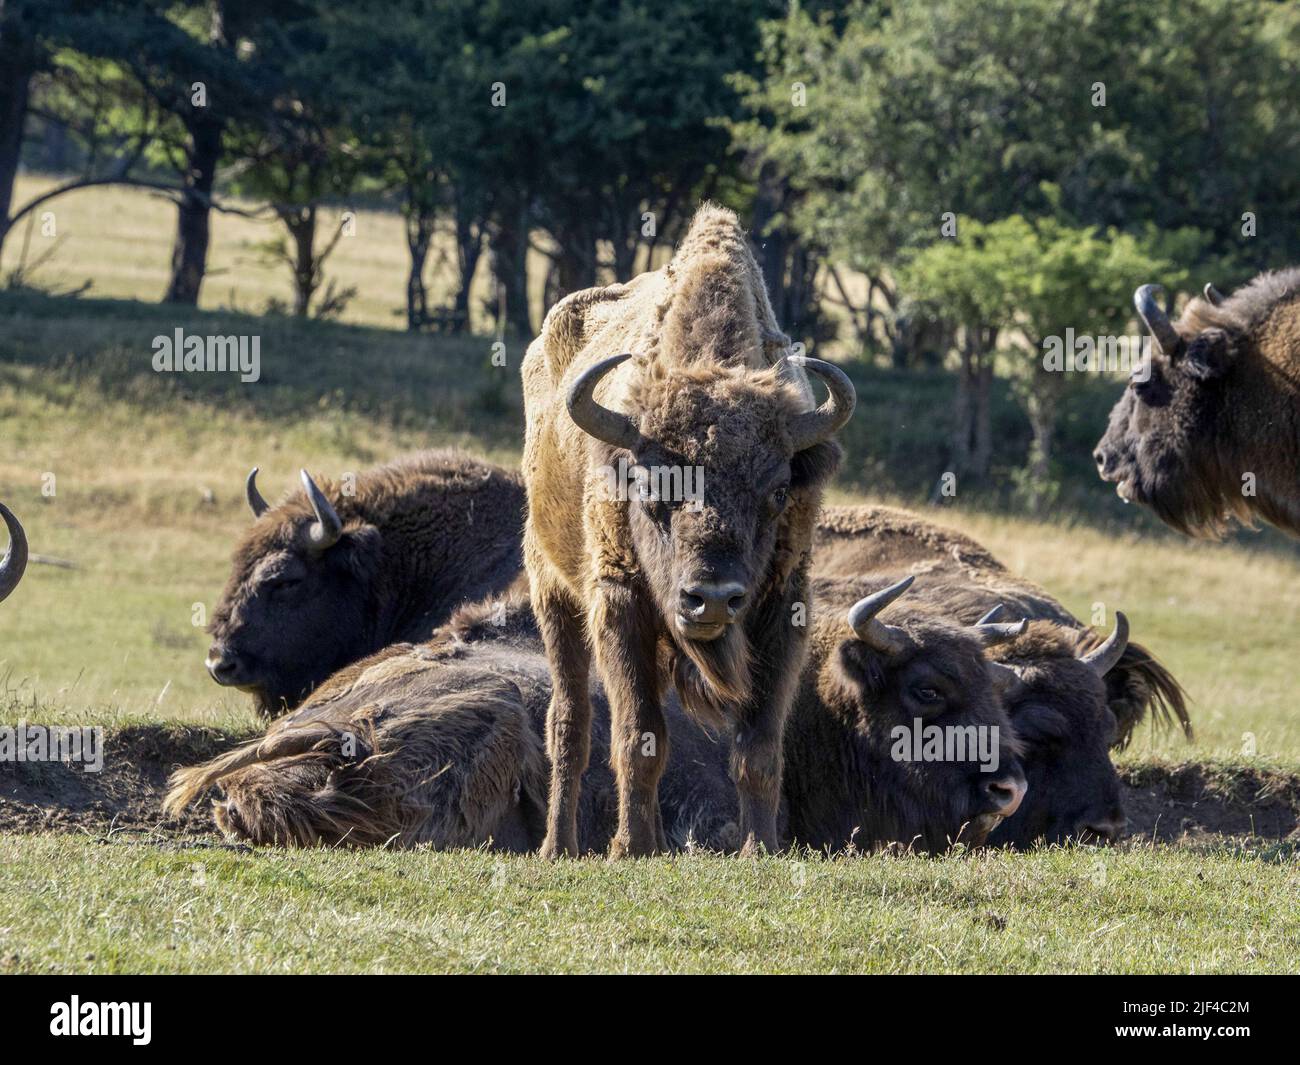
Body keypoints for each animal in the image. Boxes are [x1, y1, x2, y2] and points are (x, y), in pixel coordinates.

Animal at [521, 203, 854, 857]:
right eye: (651, 488)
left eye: (778, 493)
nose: (713, 600)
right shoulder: (619, 603)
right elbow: (638, 735)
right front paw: (630, 848)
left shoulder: (783, 607)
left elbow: (758, 748)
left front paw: (760, 848)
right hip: (552, 592)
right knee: (570, 721)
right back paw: (560, 846)